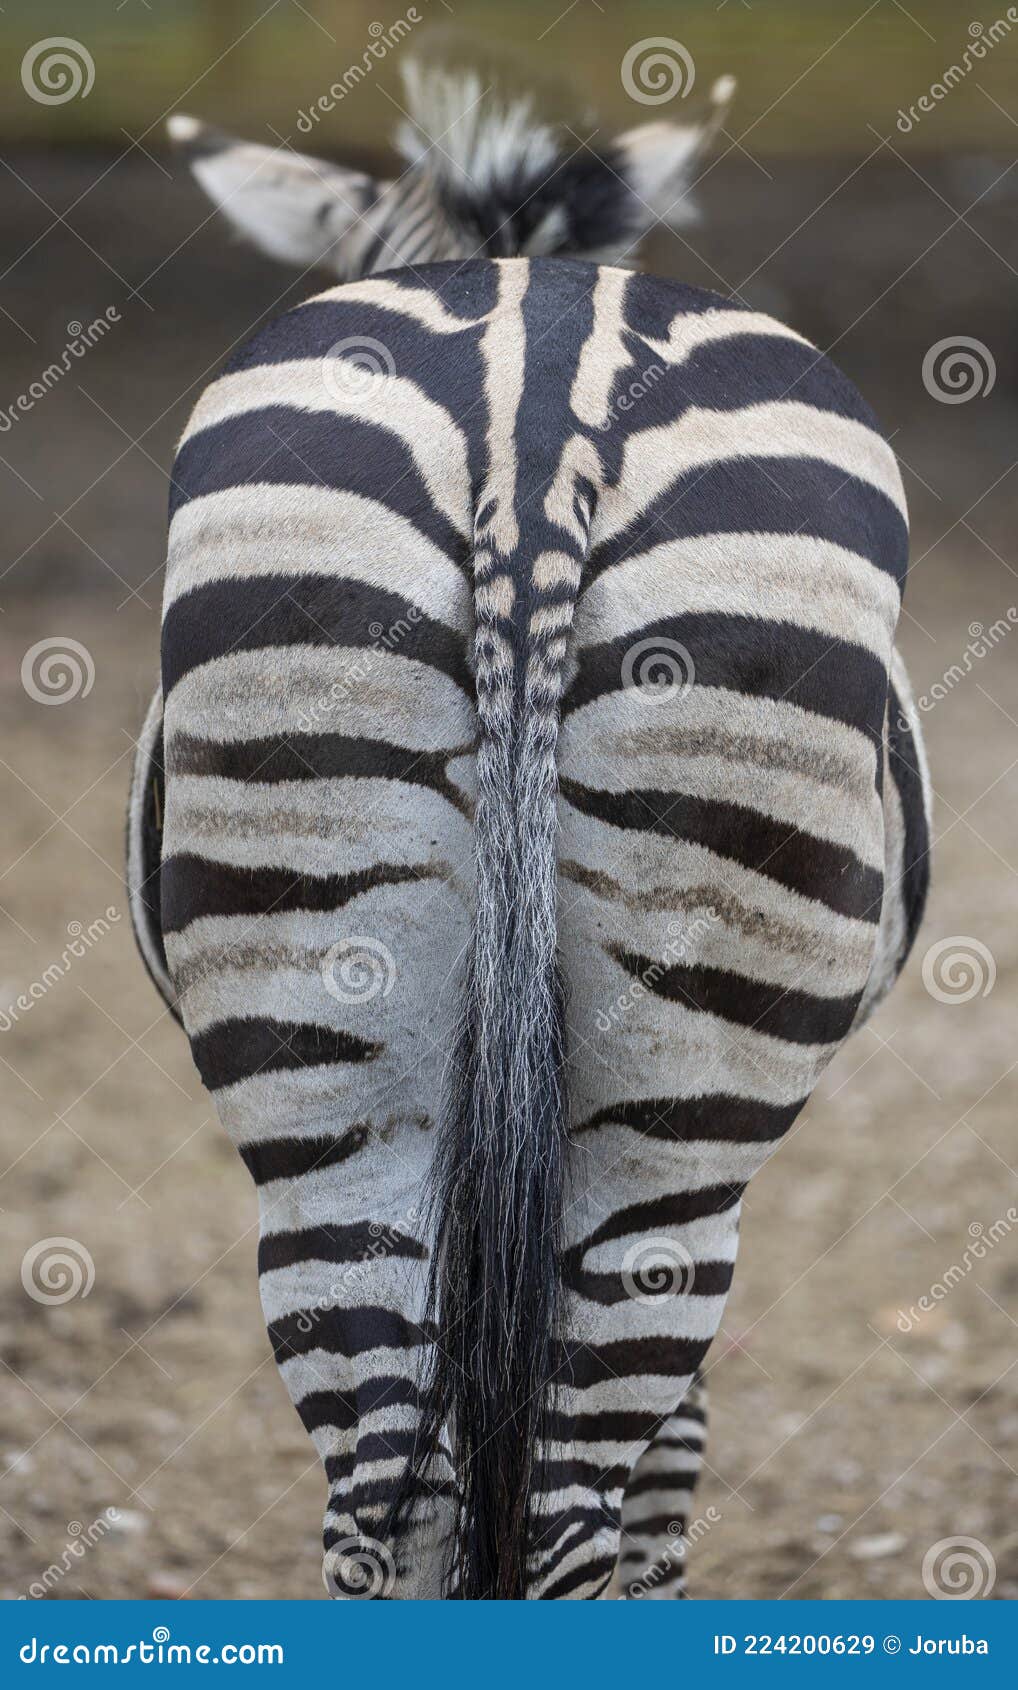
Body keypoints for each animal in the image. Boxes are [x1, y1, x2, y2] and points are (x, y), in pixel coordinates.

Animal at [127, 64, 931, 1600]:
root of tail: (531, 419)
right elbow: (670, 1459)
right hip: (674, 1122)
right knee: (568, 1506)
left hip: (324, 1060)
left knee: (390, 1497)